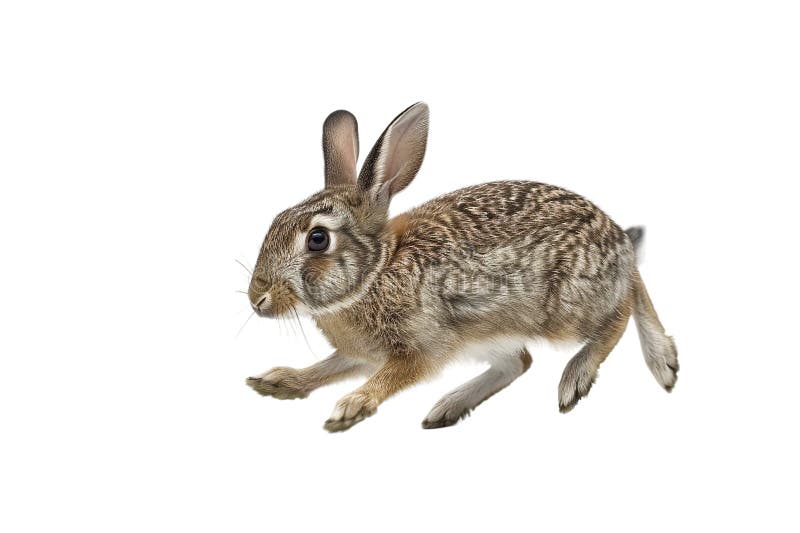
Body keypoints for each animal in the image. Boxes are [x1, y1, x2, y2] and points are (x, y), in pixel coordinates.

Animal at [245, 102, 678, 432]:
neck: (377, 271)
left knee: (622, 306)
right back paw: (447, 407)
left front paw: (351, 405)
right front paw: (279, 380)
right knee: (520, 361)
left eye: (317, 239)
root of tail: (616, 238)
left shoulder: (420, 347)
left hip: (564, 307)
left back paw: (610, 370)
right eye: (276, 220)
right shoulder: (361, 352)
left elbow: (391, 376)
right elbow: (329, 365)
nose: (257, 298)